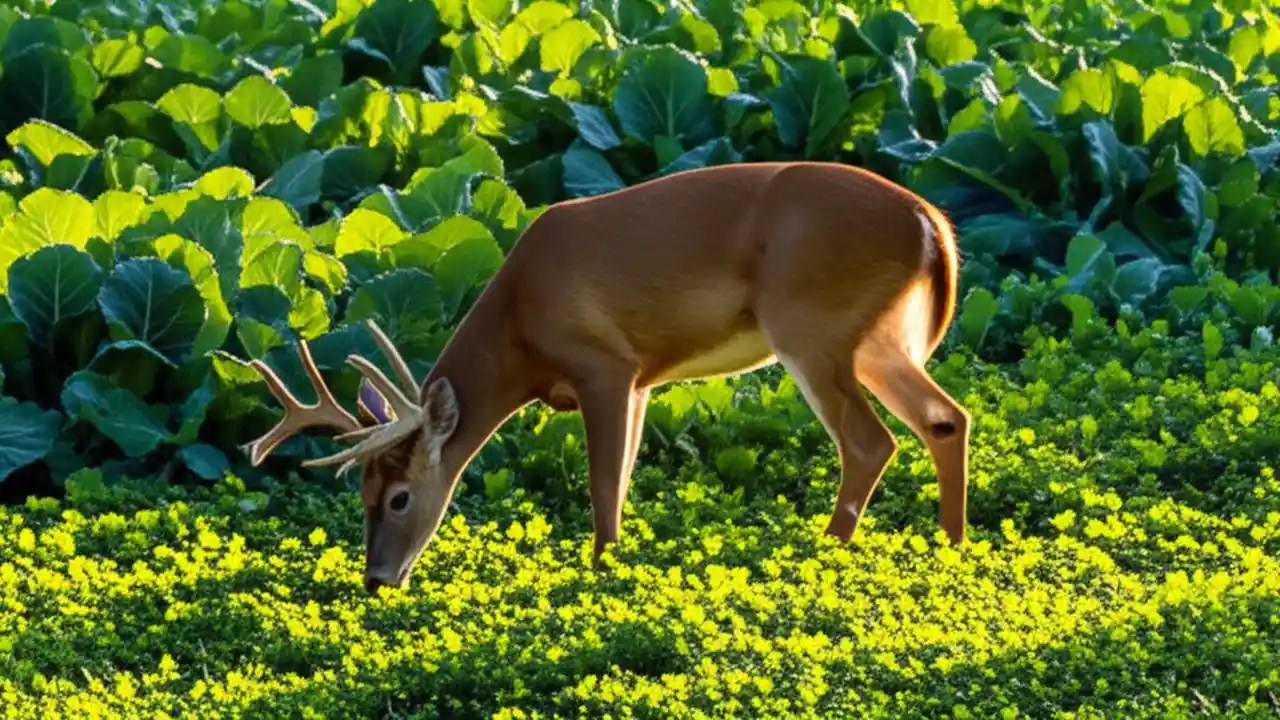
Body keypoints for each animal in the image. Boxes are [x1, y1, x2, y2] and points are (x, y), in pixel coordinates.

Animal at [242, 161, 971, 594]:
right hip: (877, 340)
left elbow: (601, 483)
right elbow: (622, 478)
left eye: (397, 498)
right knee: (945, 419)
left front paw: (601, 573)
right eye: (360, 491)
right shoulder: (644, 379)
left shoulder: (605, 363)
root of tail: (931, 224)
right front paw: (614, 565)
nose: (376, 579)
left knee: (870, 442)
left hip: (811, 326)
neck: (520, 323)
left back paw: (823, 556)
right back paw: (951, 549)